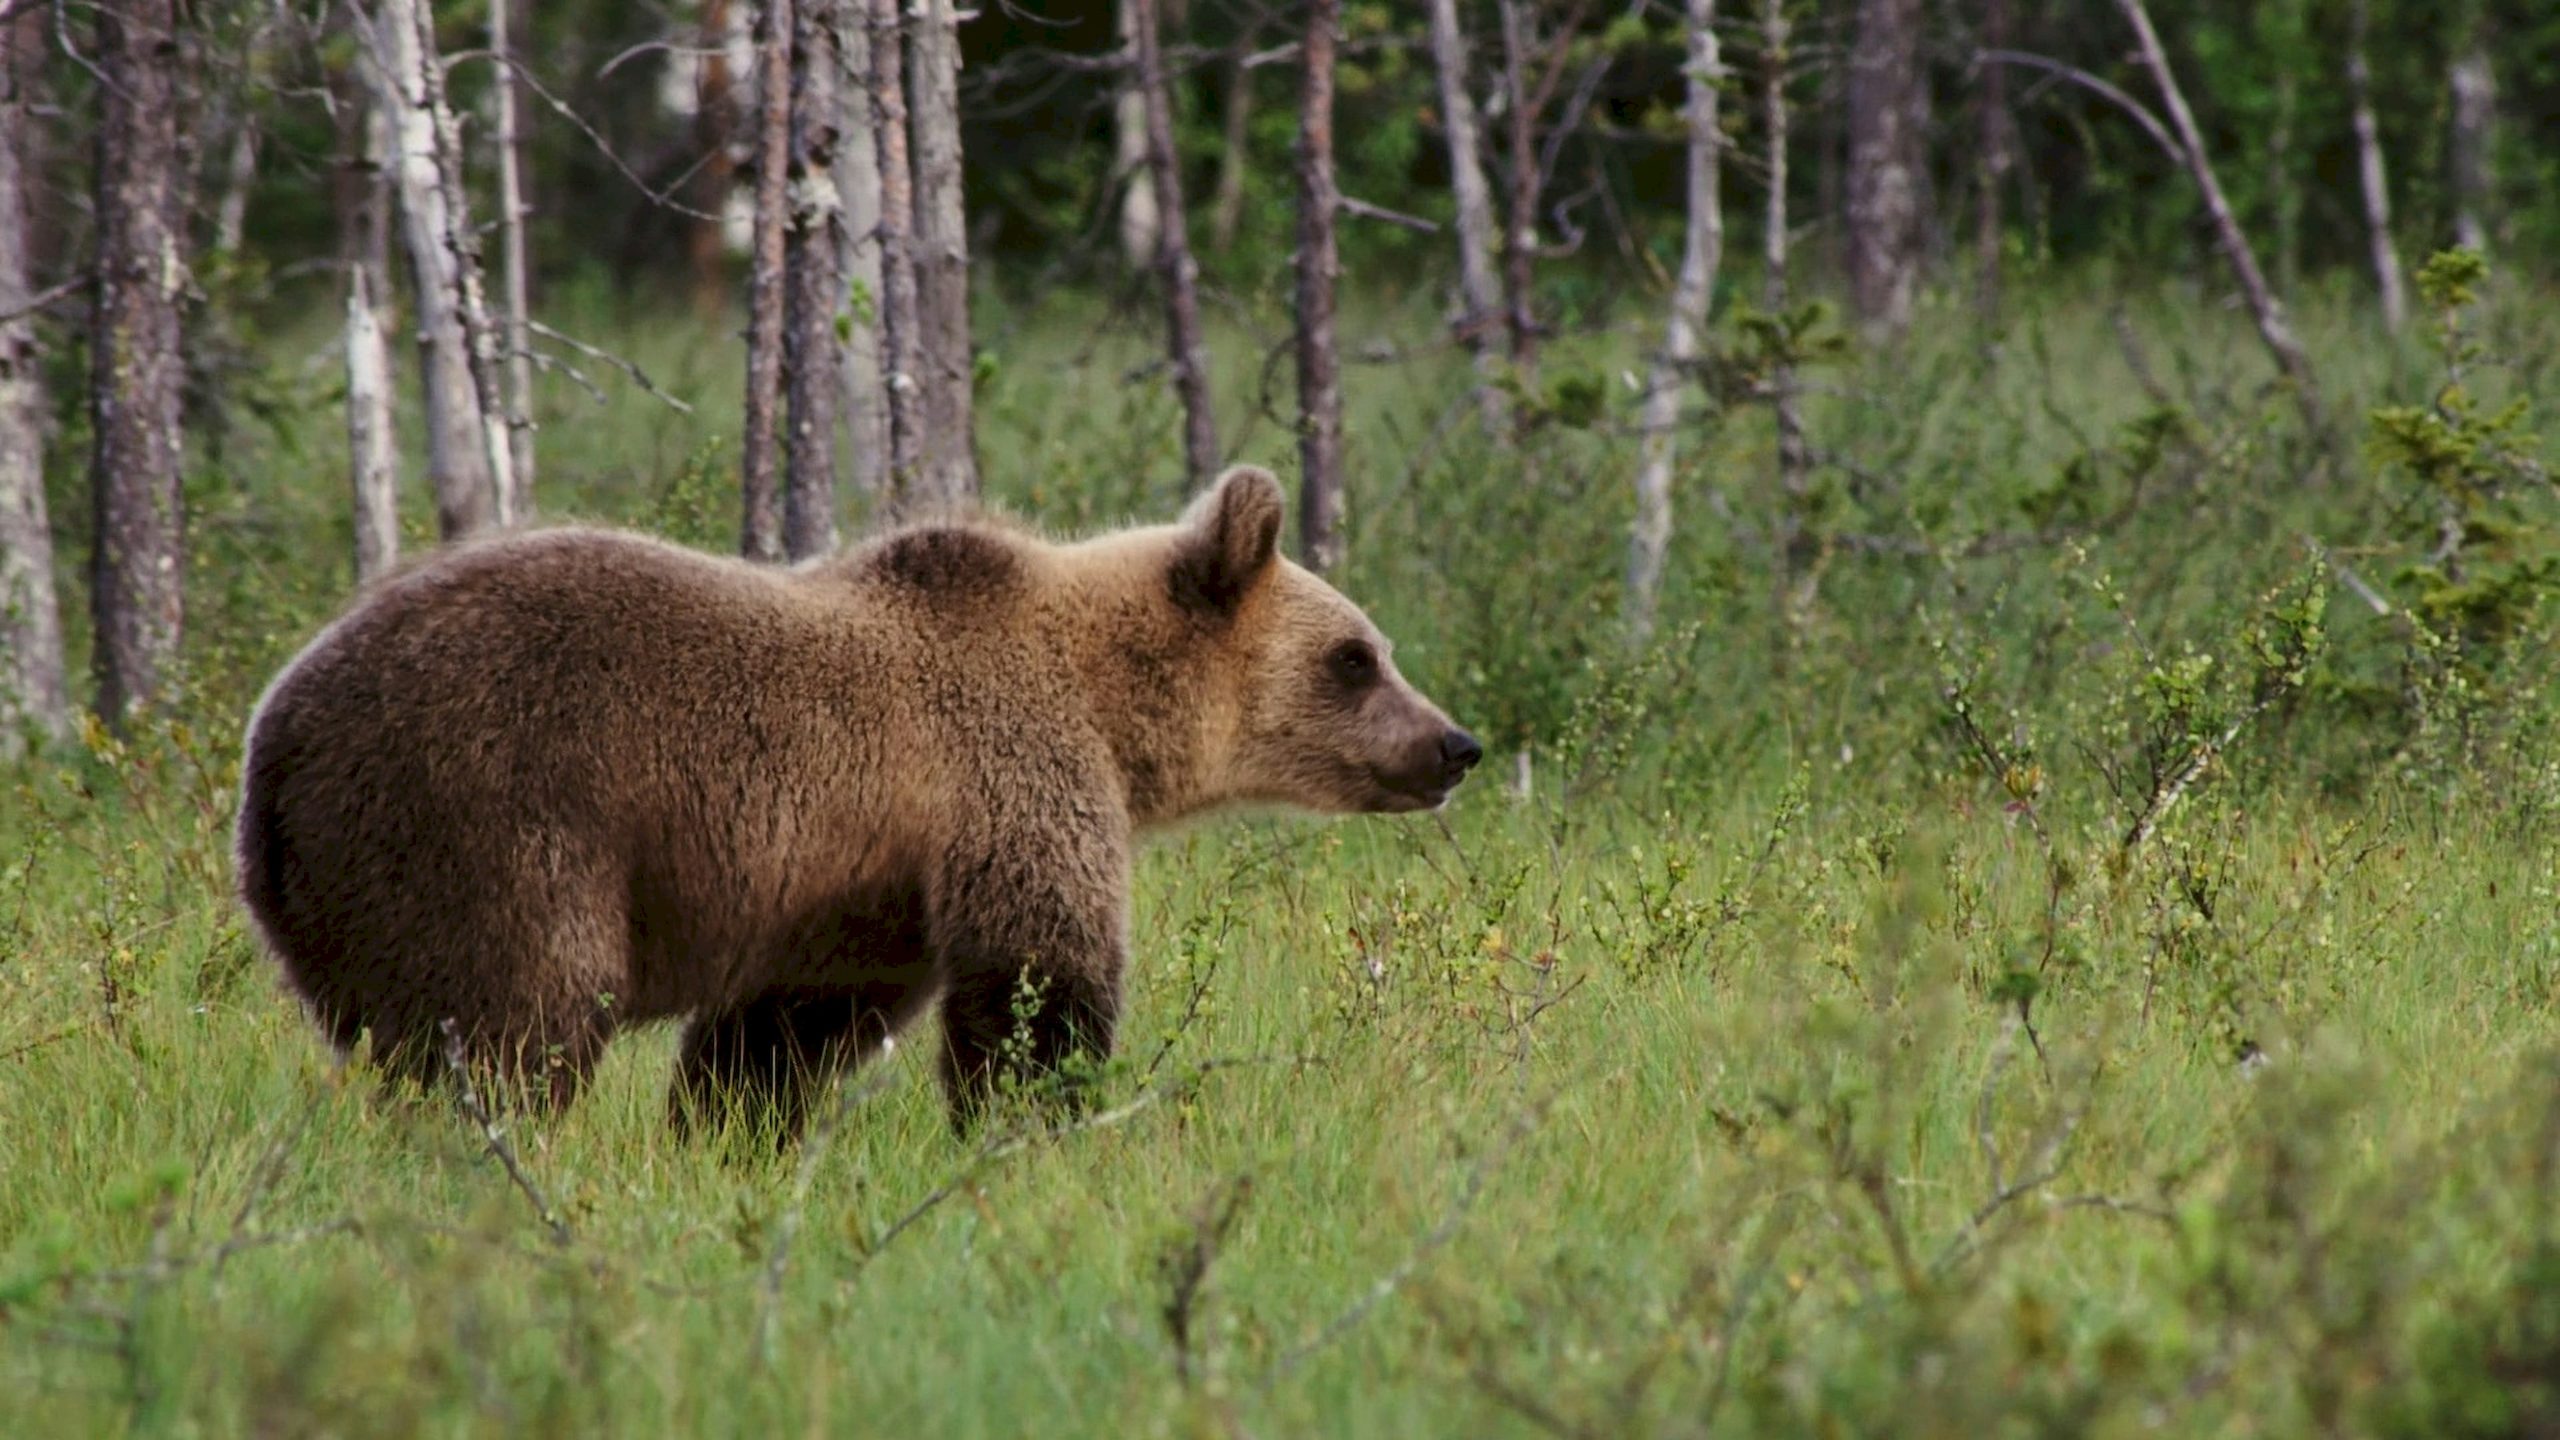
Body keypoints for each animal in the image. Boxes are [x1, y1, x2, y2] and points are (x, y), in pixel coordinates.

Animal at [234, 465, 1481, 1136]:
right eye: (1355, 657)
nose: (1454, 745)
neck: (1112, 708)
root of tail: (271, 749)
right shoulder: (1011, 773)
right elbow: (1036, 979)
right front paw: (1032, 1127)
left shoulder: (857, 893)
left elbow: (782, 1032)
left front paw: (728, 1134)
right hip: (483, 818)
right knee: (515, 1020)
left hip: (346, 897)